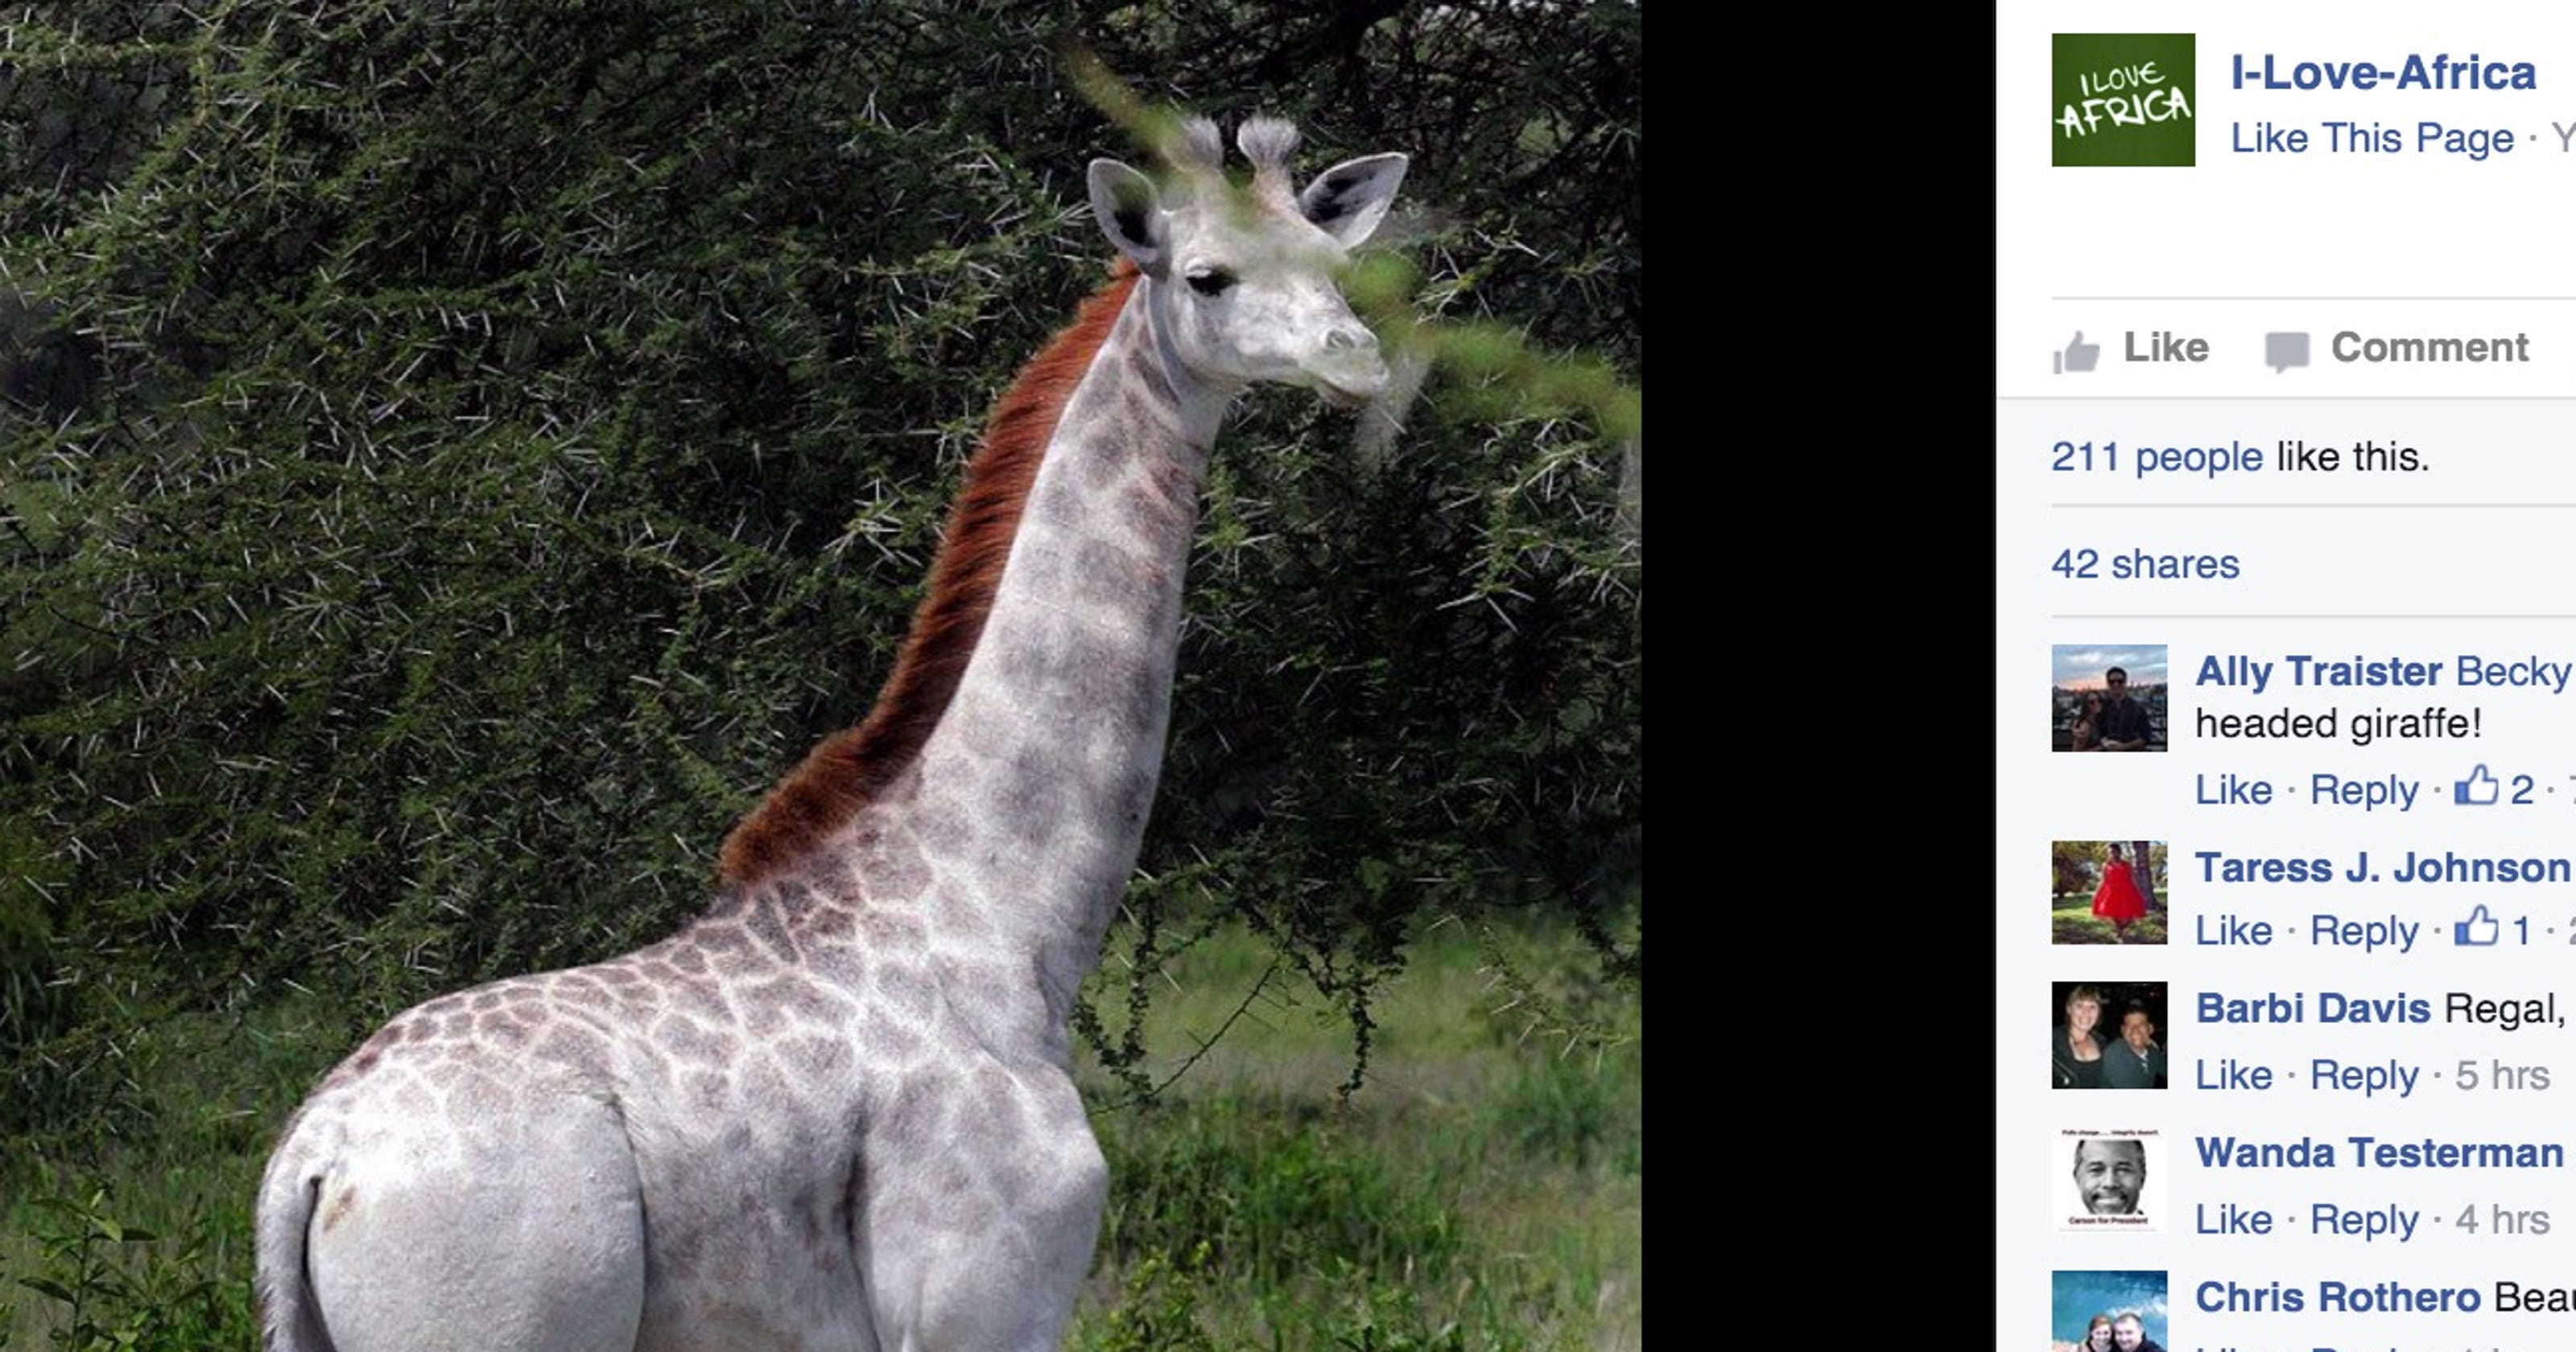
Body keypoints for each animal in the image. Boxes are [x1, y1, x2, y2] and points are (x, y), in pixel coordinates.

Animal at [254, 114, 1407, 1352]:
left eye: (1334, 266)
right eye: (1207, 276)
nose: (1355, 357)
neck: (1004, 918)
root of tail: (312, 1161)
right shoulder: (981, 1303)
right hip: (507, 1322)